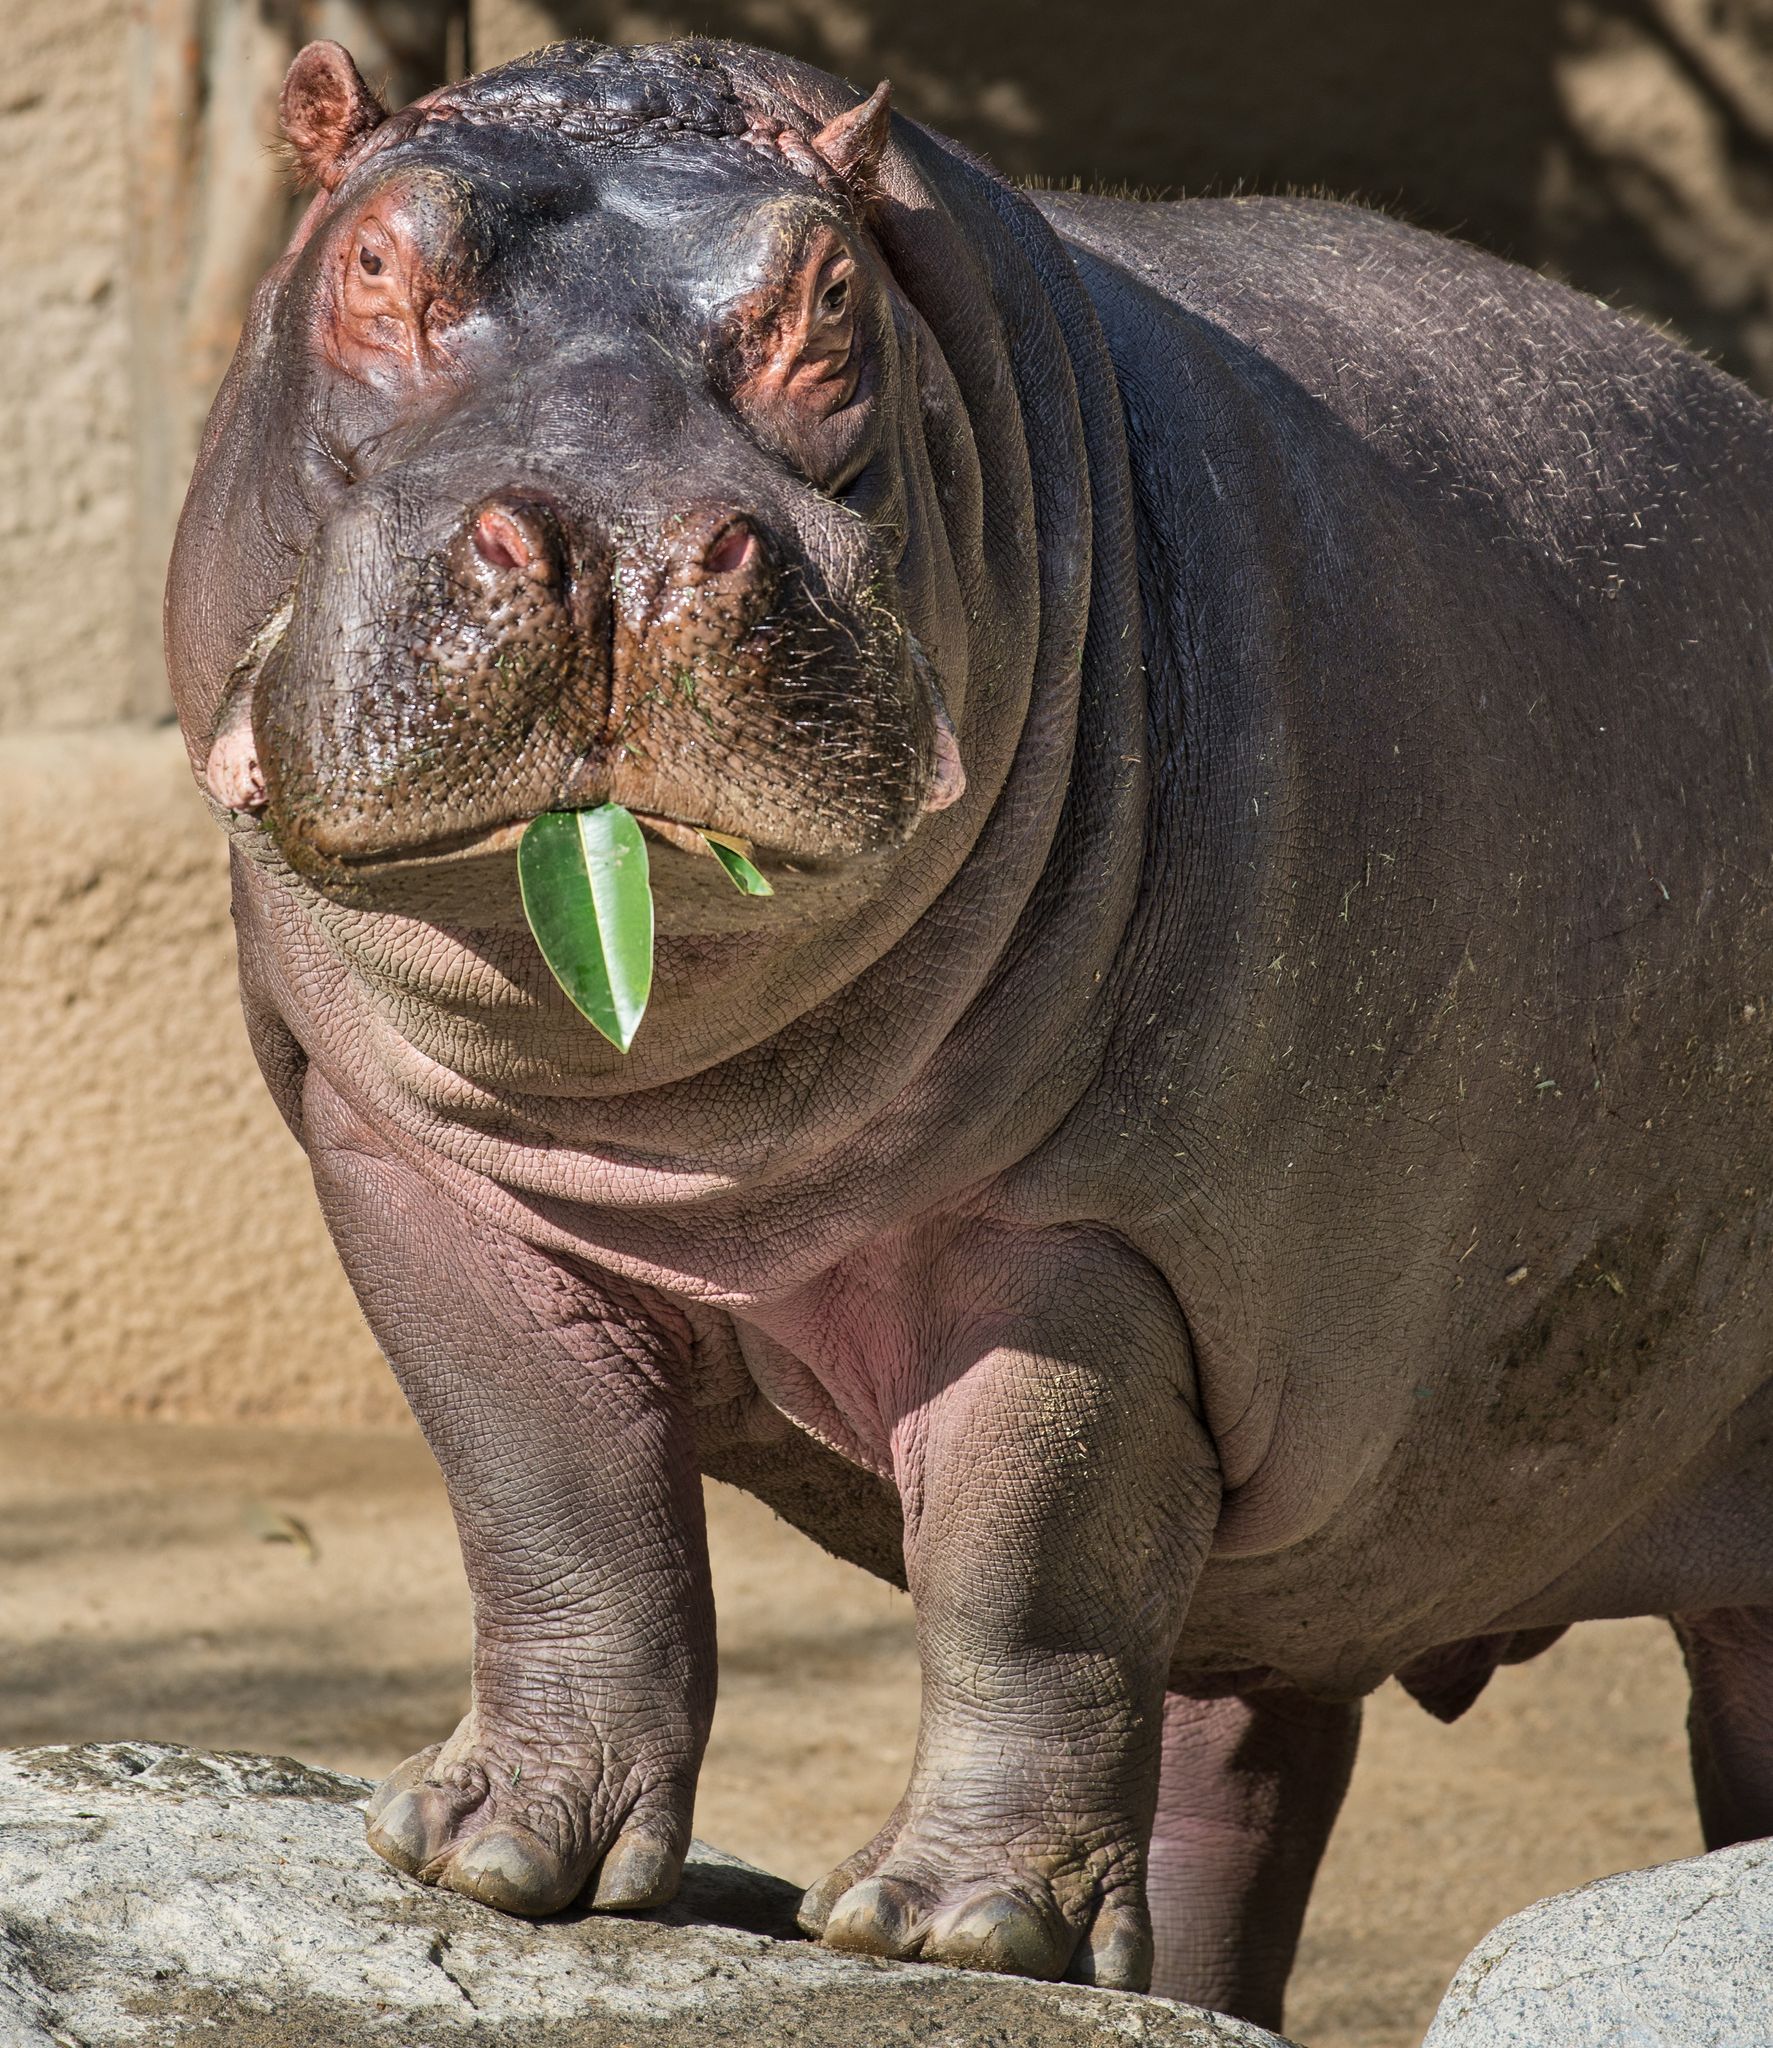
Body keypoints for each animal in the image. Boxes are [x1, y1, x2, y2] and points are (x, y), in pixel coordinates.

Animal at [166, 34, 1773, 2030]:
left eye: (833, 301)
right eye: (377, 262)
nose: (615, 541)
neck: (686, 1112)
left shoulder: (1092, 1255)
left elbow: (1029, 1573)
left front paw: (951, 1931)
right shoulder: (401, 1175)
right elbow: (553, 1501)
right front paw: (486, 1856)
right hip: (1289, 1576)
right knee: (1229, 1767)